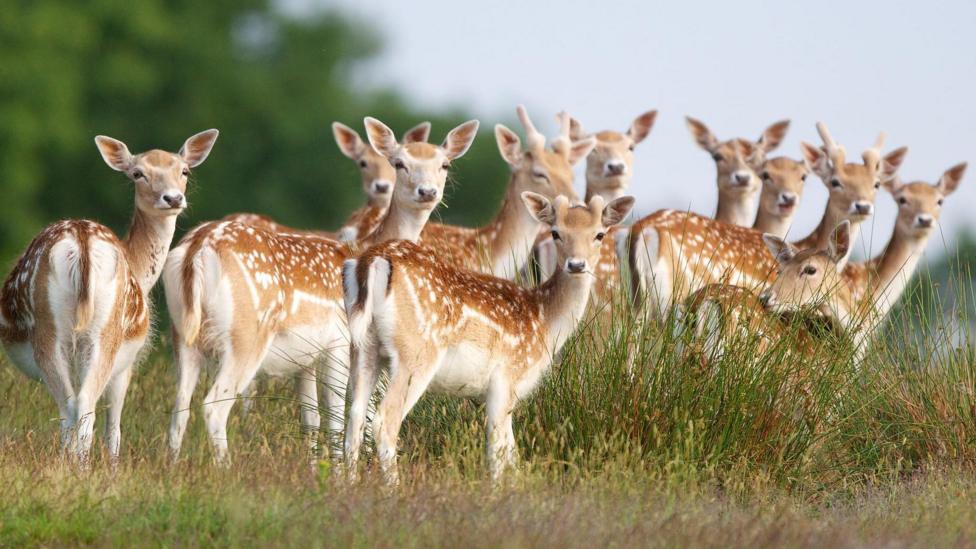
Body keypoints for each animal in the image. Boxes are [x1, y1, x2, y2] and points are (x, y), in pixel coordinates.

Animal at [0, 130, 219, 462]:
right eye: (138, 173)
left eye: (184, 171)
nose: (172, 198)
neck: (141, 271)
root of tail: (81, 245)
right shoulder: (128, 363)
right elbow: (114, 427)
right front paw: (114, 465)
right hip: (102, 334)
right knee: (81, 407)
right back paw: (80, 465)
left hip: (61, 333)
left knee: (71, 406)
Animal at [342, 192, 635, 484]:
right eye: (556, 232)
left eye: (599, 234)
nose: (576, 264)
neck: (544, 322)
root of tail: (372, 260)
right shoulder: (507, 377)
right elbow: (498, 449)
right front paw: (497, 489)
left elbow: (512, 452)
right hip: (416, 352)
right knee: (385, 419)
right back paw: (394, 487)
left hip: (363, 346)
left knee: (354, 418)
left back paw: (349, 483)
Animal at [626, 122, 908, 323]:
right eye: (835, 181)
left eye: (876, 184)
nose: (862, 206)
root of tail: (643, 230)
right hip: (671, 296)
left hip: (638, 303)